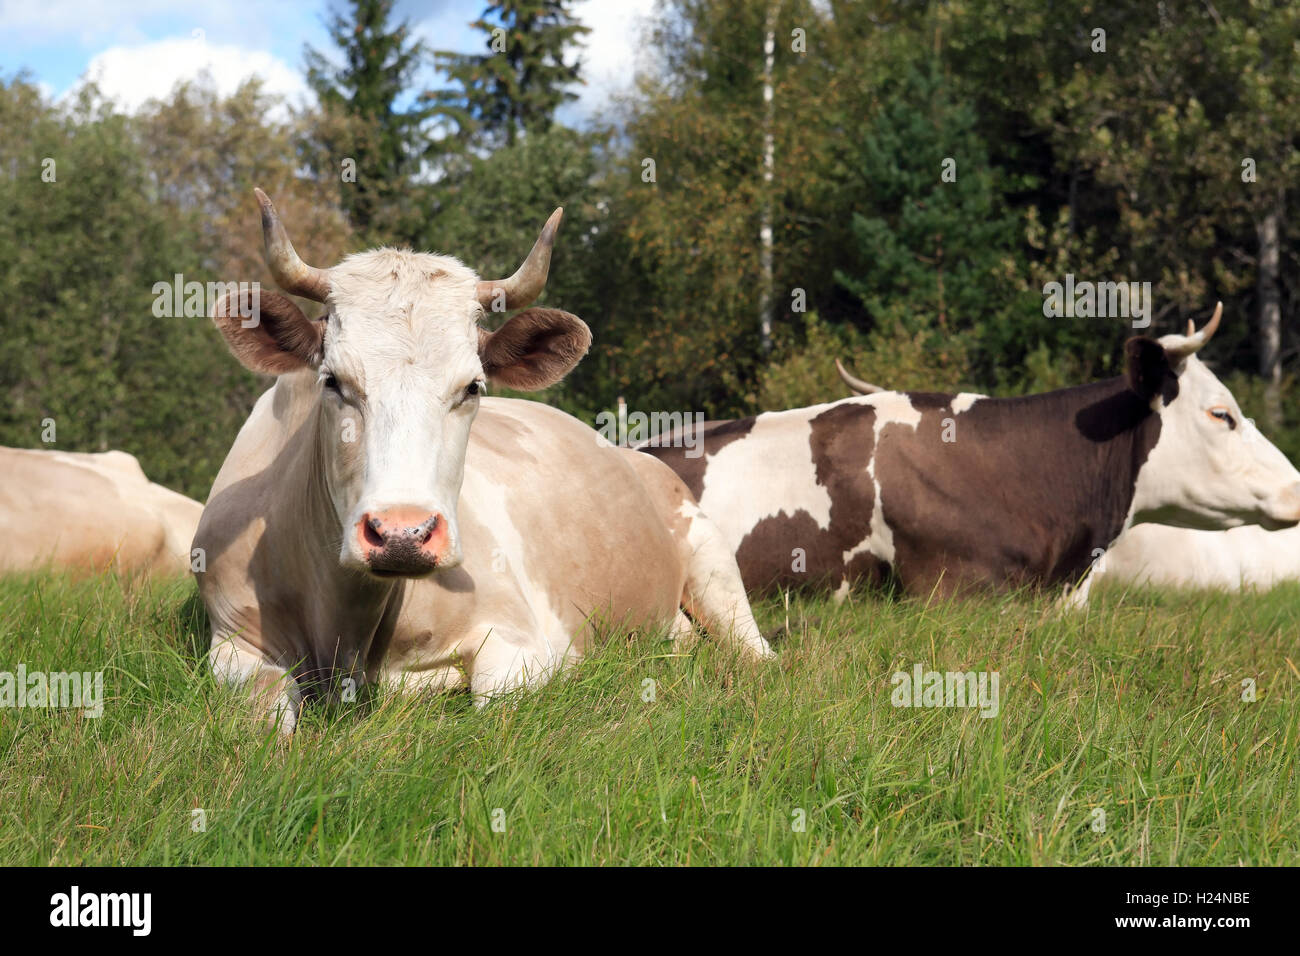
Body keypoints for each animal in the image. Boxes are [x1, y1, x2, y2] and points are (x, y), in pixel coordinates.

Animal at [194, 189, 772, 733]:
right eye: (333, 381)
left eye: (472, 387)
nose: (402, 534)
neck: (347, 618)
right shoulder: (232, 640)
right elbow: (266, 711)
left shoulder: (523, 639)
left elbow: (492, 708)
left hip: (712, 555)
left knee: (751, 648)